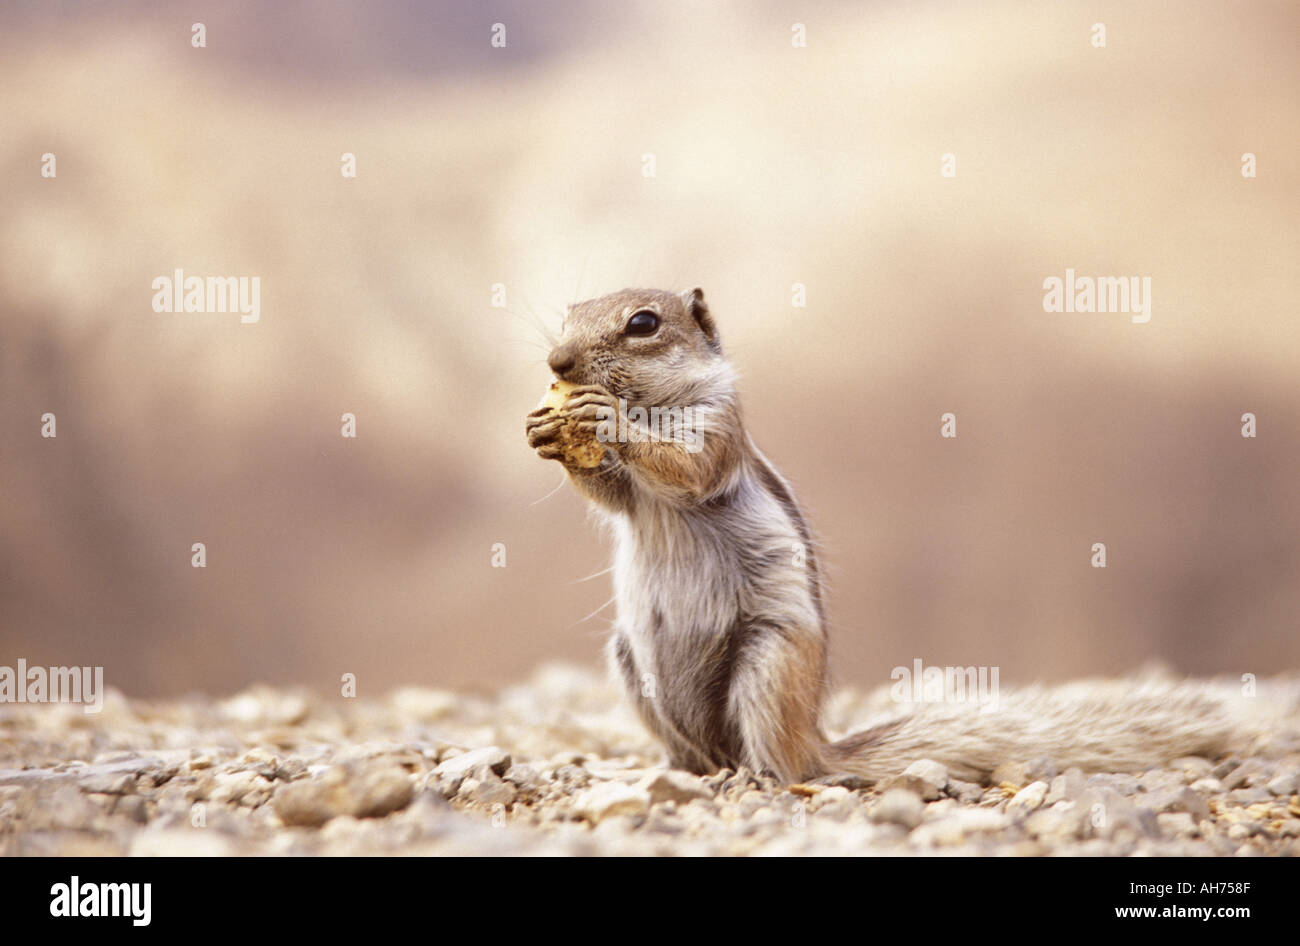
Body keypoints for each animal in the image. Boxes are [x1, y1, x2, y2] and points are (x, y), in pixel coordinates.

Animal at [526, 287, 1278, 785]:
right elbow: (614, 494)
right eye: (565, 314)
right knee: (700, 752)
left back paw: (757, 778)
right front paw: (546, 432)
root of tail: (816, 741)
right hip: (632, 664)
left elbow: (686, 468)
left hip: (769, 664)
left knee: (787, 770)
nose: (557, 362)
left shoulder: (719, 426)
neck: (655, 402)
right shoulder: (631, 496)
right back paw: (676, 771)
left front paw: (603, 419)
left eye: (643, 323)